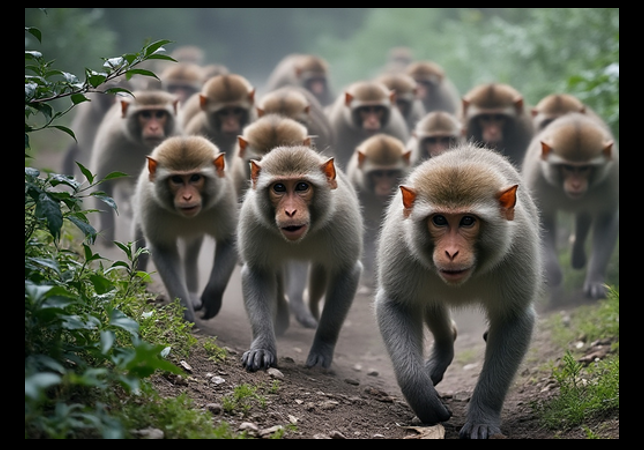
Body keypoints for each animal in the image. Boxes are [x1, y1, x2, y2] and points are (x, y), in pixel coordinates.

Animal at [89, 90, 181, 244]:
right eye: (146, 115)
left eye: (160, 114)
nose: (154, 127)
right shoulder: (112, 140)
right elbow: (103, 182)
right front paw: (107, 233)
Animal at [131, 135, 239, 323]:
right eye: (177, 180)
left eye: (195, 178)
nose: (187, 197)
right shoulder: (152, 206)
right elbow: (163, 249)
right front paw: (184, 311)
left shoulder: (223, 199)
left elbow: (228, 240)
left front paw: (212, 298)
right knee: (140, 240)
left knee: (191, 252)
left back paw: (193, 293)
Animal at [237, 145, 363, 372]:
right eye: (279, 188)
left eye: (302, 186)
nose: (290, 211)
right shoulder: (253, 220)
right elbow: (258, 272)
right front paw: (262, 347)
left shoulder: (343, 219)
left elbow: (345, 272)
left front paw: (322, 349)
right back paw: (282, 318)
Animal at [375, 142, 542, 439]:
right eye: (439, 220)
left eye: (467, 221)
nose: (451, 252)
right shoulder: (400, 243)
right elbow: (397, 305)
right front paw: (424, 401)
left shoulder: (518, 249)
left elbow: (513, 319)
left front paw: (482, 418)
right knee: (431, 303)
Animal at [522, 112, 618, 301]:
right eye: (567, 167)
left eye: (585, 168)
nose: (576, 185)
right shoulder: (538, 179)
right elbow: (542, 219)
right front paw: (553, 275)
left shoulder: (610, 178)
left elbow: (606, 218)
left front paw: (595, 279)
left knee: (584, 216)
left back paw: (577, 252)